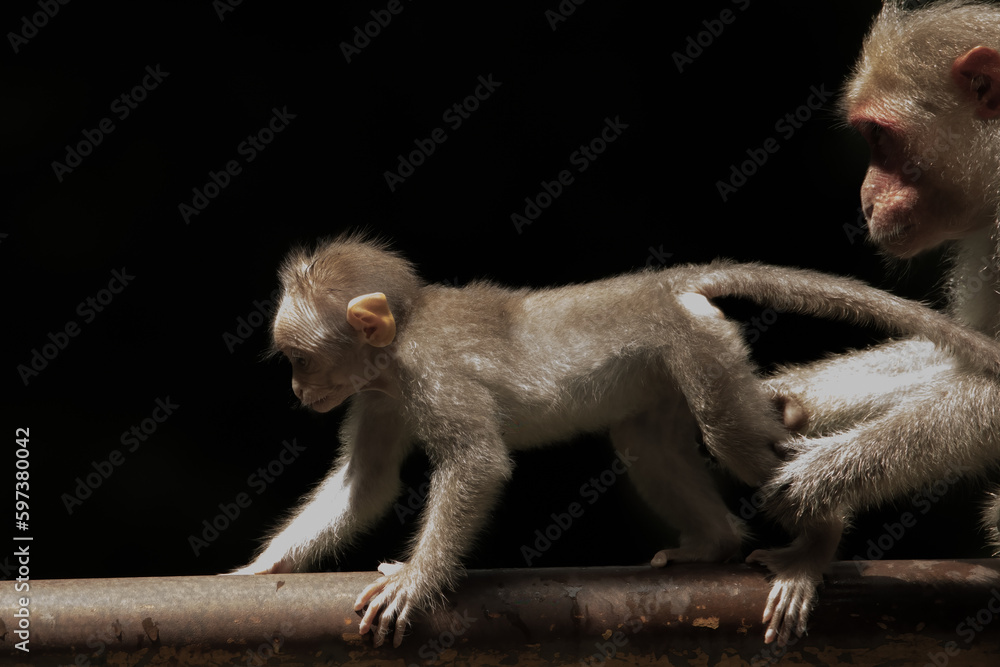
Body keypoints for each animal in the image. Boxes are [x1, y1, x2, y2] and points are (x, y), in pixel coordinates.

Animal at [229, 233, 1000, 648]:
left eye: (299, 359)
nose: (297, 390)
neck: (398, 343)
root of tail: (662, 283)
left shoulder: (427, 371)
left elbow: (478, 462)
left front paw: (415, 582)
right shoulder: (379, 393)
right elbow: (365, 487)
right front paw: (262, 567)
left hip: (699, 343)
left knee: (730, 435)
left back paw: (816, 542)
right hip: (670, 363)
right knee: (646, 444)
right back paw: (713, 543)